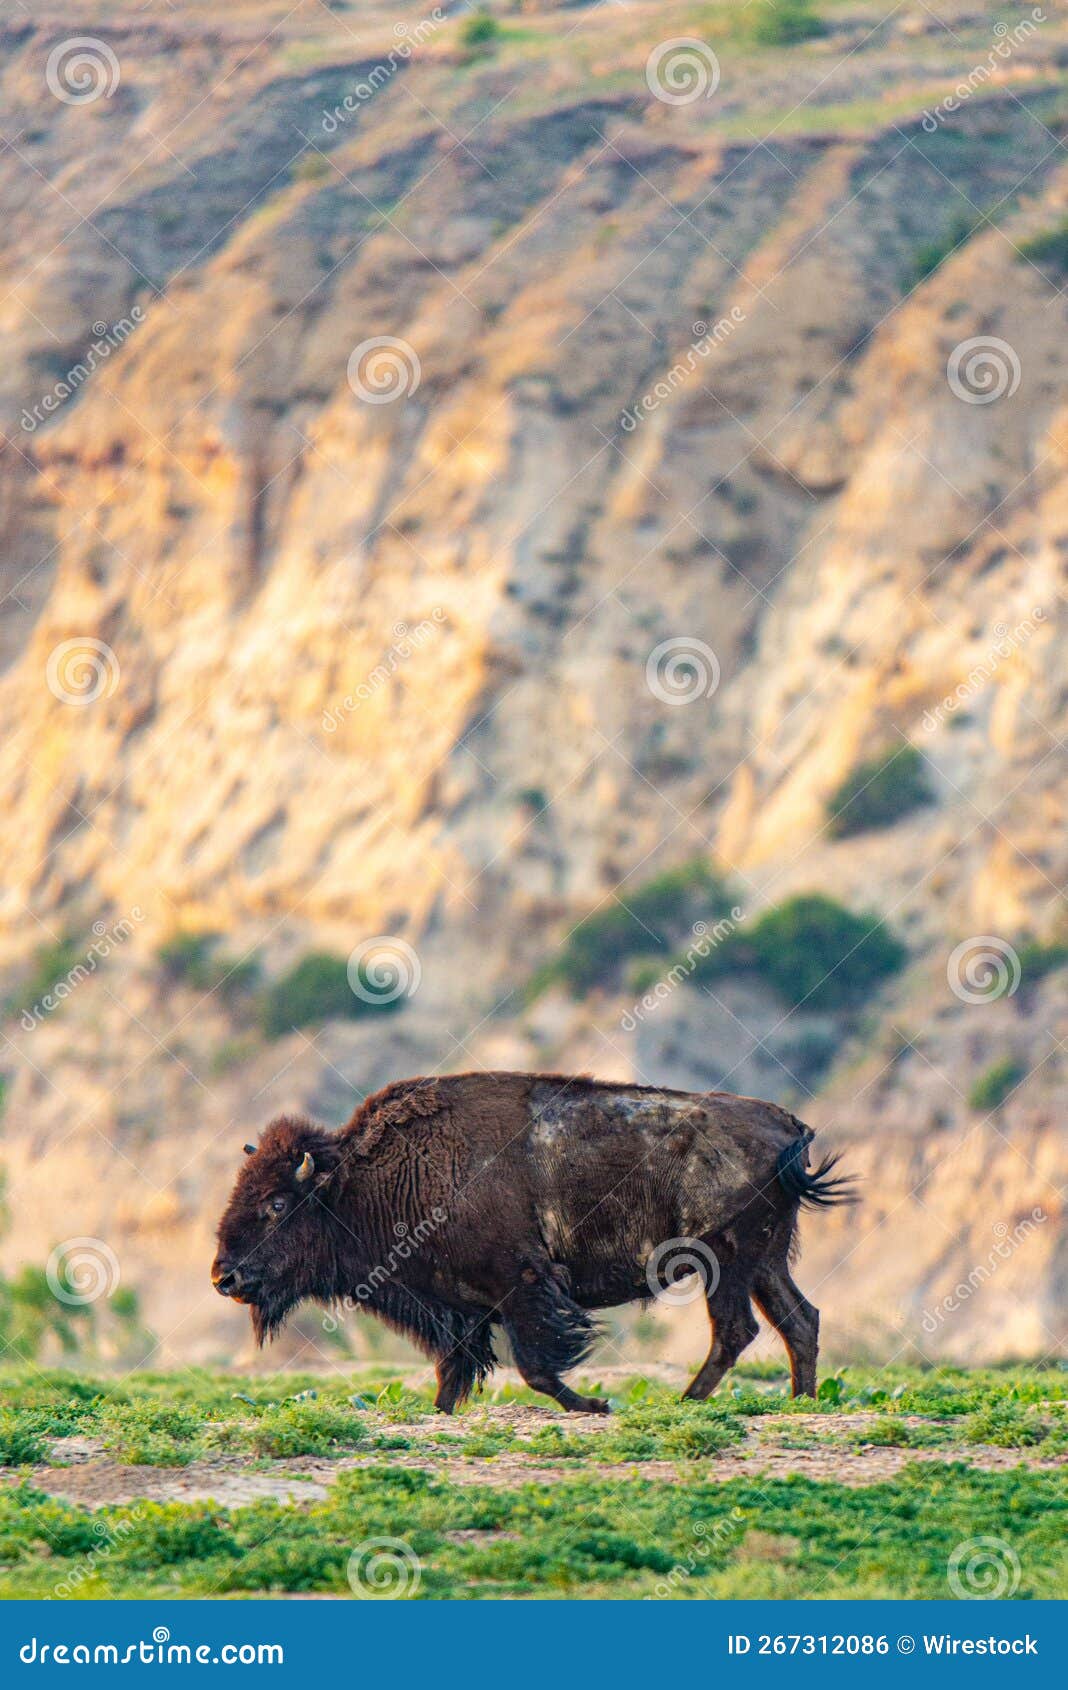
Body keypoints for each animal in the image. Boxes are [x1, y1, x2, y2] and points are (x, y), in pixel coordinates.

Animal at [212, 1072, 852, 1412]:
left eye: (276, 1203)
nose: (225, 1277)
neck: (360, 1182)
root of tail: (789, 1128)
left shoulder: (521, 1286)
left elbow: (534, 1366)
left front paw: (595, 1404)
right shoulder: (459, 1308)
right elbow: (455, 1369)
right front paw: (441, 1411)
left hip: (726, 1261)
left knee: (738, 1330)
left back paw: (689, 1402)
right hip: (766, 1261)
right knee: (799, 1320)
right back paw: (801, 1402)